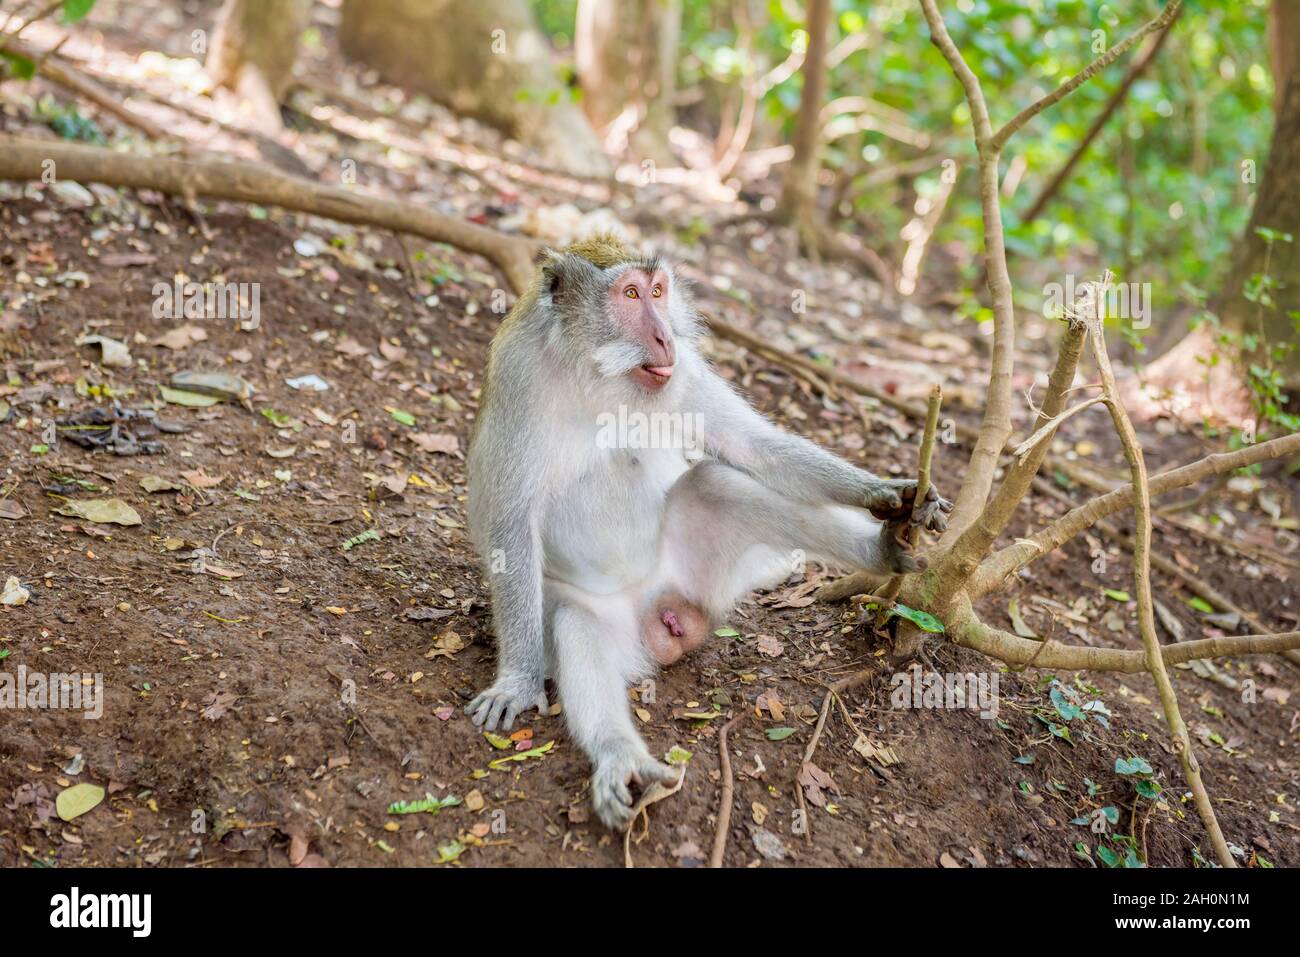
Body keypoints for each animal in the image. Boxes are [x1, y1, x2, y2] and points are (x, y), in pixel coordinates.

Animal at [466, 234, 950, 829]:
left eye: (657, 291)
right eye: (629, 295)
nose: (664, 335)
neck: (594, 375)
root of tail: (657, 611)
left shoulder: (685, 370)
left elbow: (752, 446)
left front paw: (887, 492)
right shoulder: (518, 377)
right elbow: (510, 523)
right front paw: (516, 679)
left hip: (696, 576)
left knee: (717, 484)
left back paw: (879, 549)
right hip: (608, 619)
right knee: (577, 626)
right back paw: (620, 755)